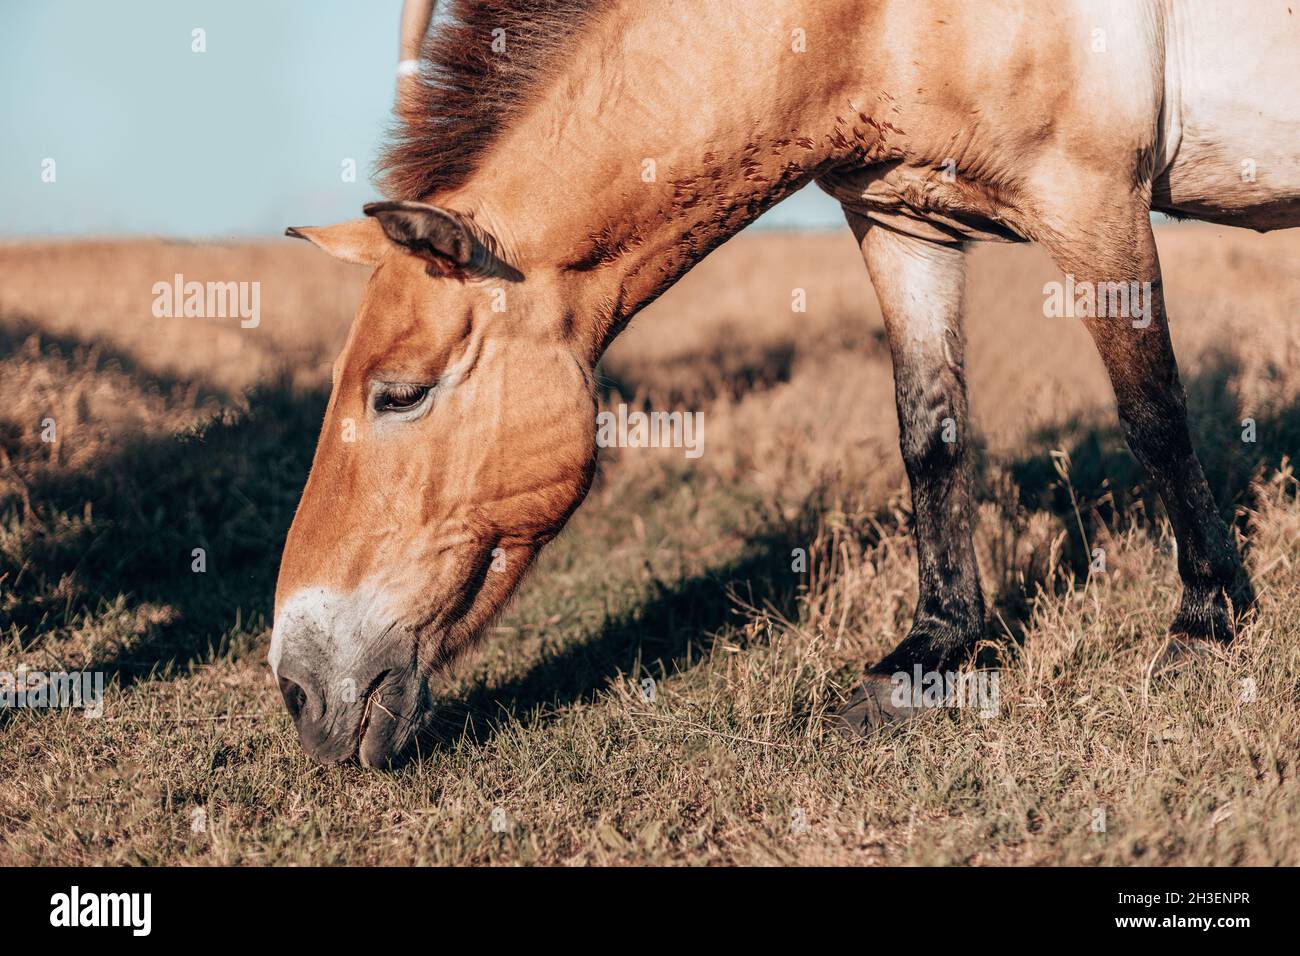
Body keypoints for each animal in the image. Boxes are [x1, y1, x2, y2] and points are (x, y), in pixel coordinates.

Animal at [272, 0, 1300, 766]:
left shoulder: (1093, 204)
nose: (296, 687)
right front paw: (928, 657)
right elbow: (930, 435)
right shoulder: (904, 226)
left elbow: (1153, 414)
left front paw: (1204, 623)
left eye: (400, 393)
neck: (871, 23)